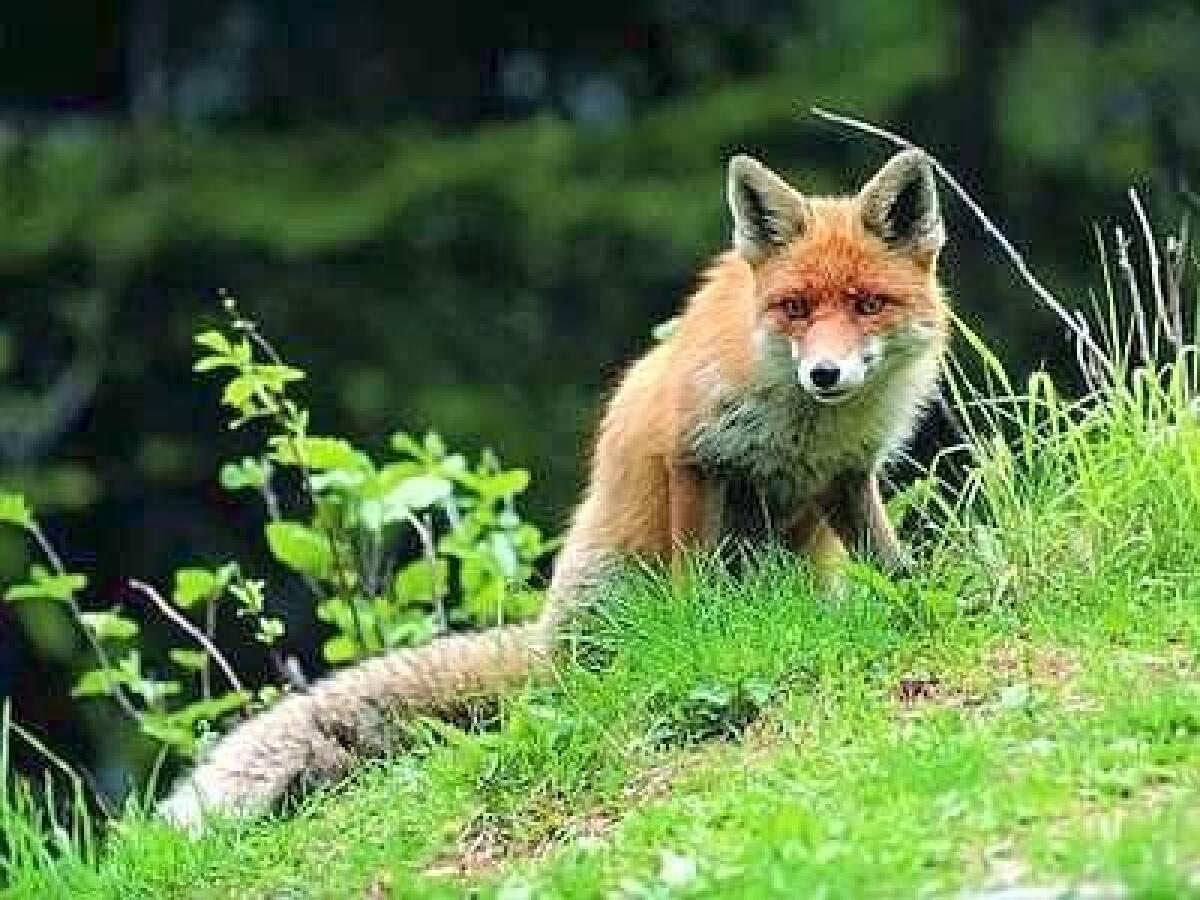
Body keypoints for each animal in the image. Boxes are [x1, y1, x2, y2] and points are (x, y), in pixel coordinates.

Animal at [159, 148, 949, 832]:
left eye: (867, 303)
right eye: (795, 308)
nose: (826, 374)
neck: (805, 426)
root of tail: (546, 644)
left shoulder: (845, 476)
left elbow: (889, 564)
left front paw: (922, 600)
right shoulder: (695, 457)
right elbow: (698, 585)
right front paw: (709, 637)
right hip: (614, 589)